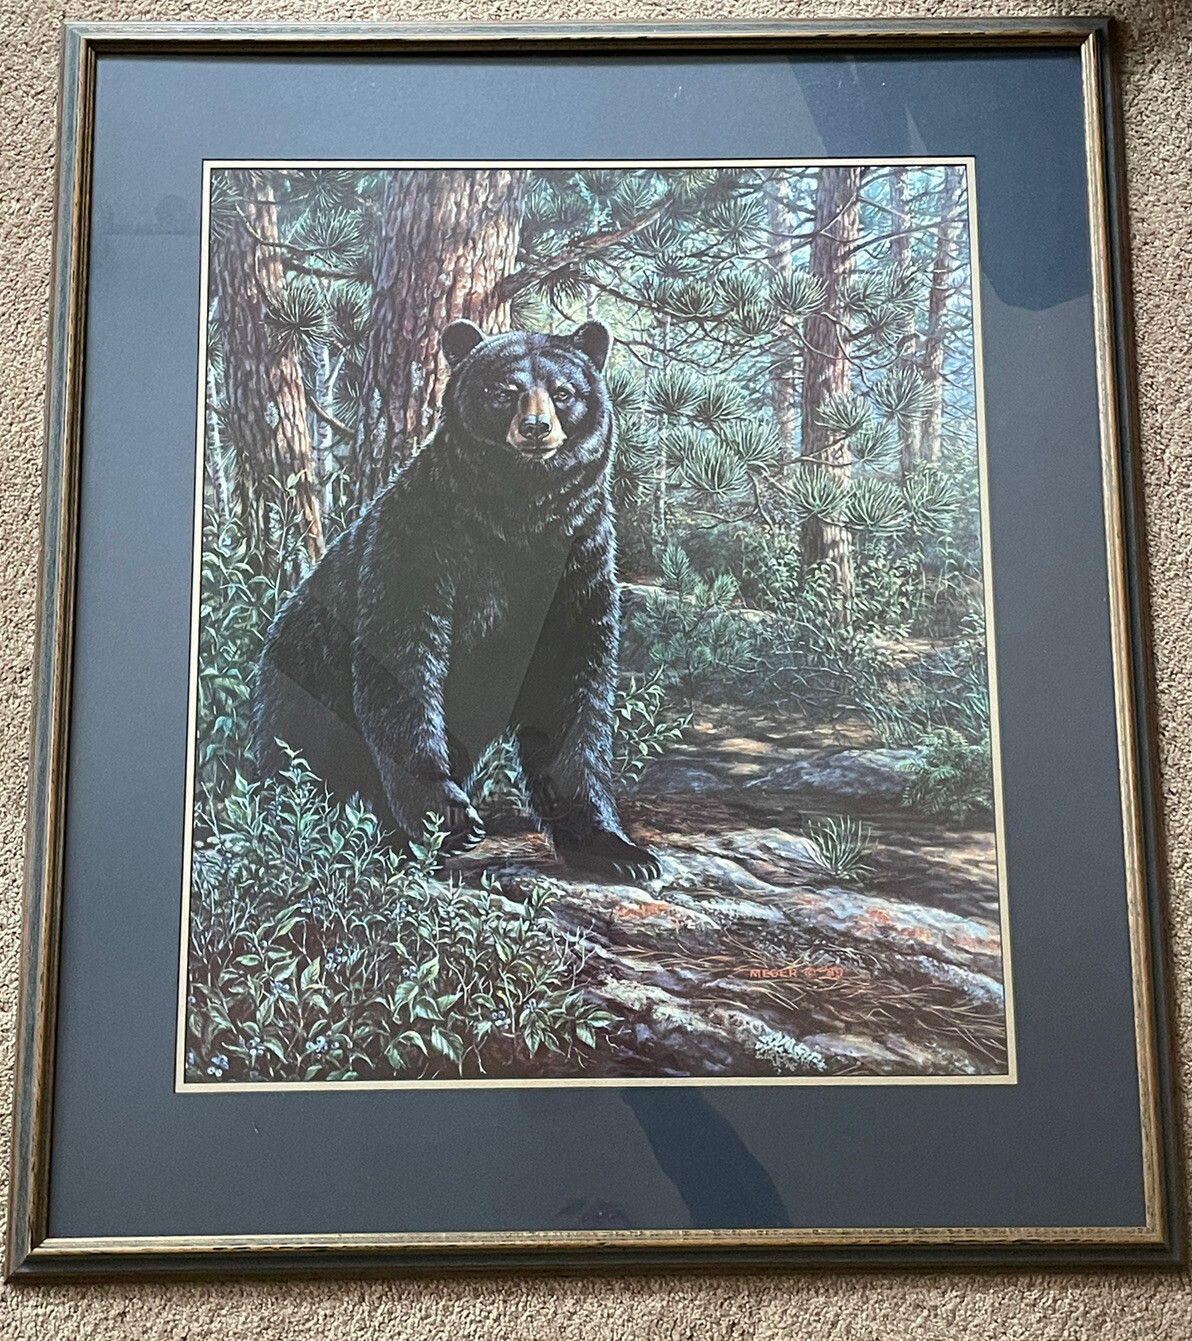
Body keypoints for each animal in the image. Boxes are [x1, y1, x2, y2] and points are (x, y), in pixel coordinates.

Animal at [251, 318, 662, 883]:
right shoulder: (422, 546)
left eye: (564, 392)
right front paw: (447, 818)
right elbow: (402, 667)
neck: (518, 515)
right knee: (298, 754)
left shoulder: (577, 564)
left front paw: (616, 847)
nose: (536, 428)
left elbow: (570, 688)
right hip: (304, 688)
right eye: (504, 390)